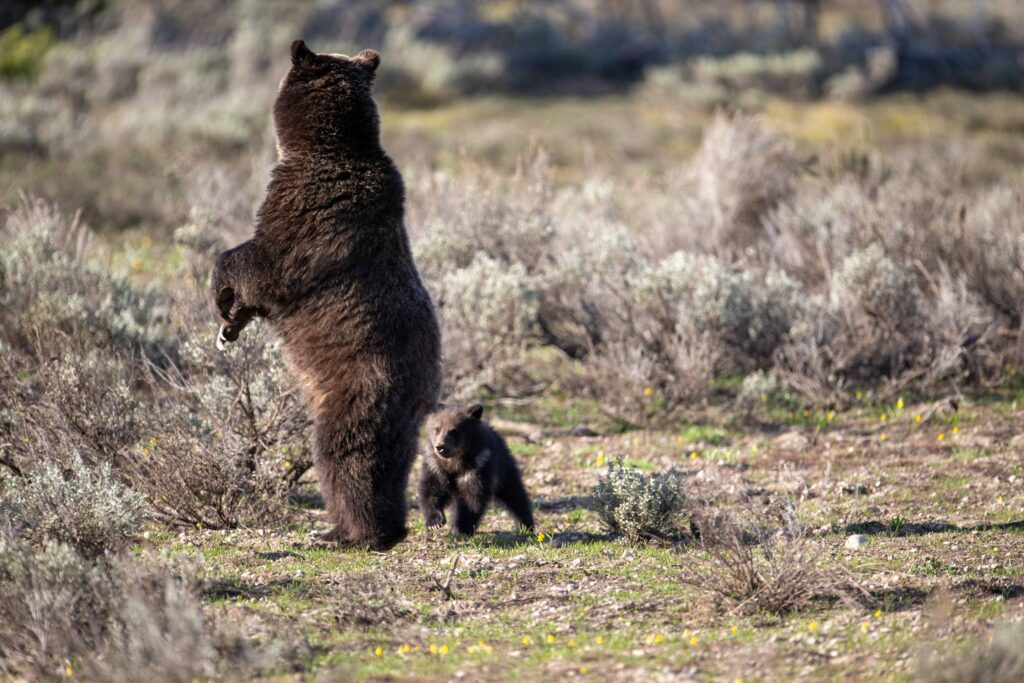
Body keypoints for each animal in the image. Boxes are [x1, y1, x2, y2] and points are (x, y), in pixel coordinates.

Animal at [211, 40, 442, 551]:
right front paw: (230, 323)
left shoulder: (307, 213)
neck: (330, 147)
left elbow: (262, 264)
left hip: (361, 387)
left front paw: (220, 294)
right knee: (389, 465)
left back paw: (352, 532)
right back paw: (371, 526)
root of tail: (427, 388)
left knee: (346, 454)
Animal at [419, 404, 535, 535]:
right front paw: (434, 522)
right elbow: (431, 490)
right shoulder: (436, 466)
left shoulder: (478, 466)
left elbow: (472, 498)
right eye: (437, 429)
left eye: (453, 430)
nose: (440, 446)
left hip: (503, 467)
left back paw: (525, 525)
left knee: (515, 494)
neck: (454, 462)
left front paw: (460, 527)